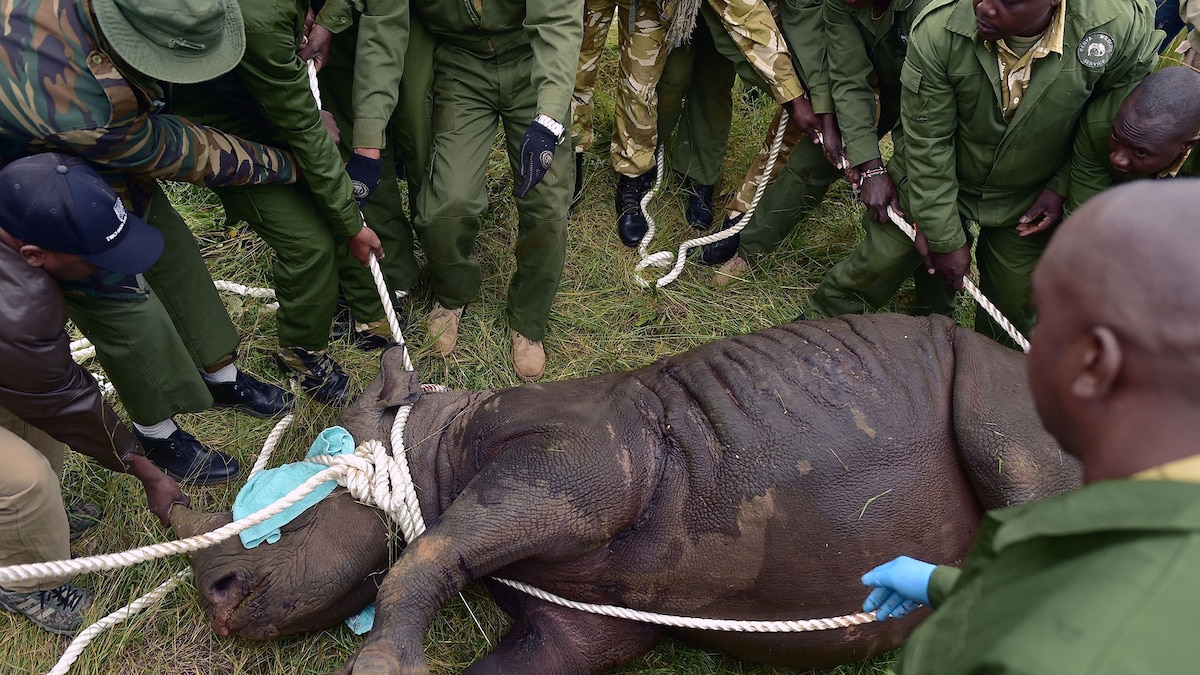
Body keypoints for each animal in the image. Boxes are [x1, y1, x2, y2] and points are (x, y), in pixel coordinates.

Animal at [170, 314, 1080, 675]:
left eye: (295, 506)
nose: (214, 597)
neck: (429, 443)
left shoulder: (586, 461)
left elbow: (426, 550)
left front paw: (383, 663)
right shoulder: (580, 623)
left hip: (1000, 377)